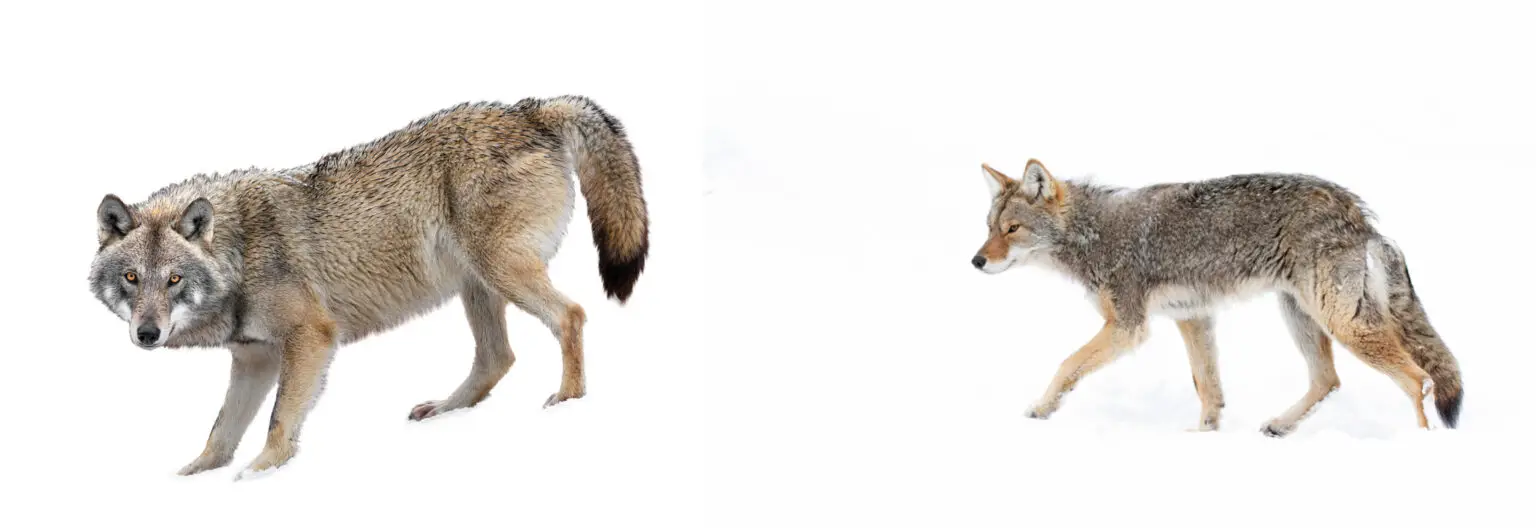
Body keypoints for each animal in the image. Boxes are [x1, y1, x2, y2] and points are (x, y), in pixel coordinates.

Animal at [88, 96, 650, 479]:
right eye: (132, 278)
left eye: (175, 279)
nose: (147, 334)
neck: (240, 250)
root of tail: (531, 110)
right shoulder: (254, 359)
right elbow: (219, 433)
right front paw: (191, 477)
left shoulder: (311, 338)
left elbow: (278, 421)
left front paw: (261, 471)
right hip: (476, 285)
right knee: (498, 358)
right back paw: (445, 409)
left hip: (501, 272)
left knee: (571, 315)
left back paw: (568, 399)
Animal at [970, 159, 1461, 436]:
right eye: (990, 228)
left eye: (1012, 229)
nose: (976, 261)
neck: (1095, 234)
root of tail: (1357, 212)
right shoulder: (1193, 317)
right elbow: (1207, 389)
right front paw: (1206, 435)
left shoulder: (1128, 328)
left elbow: (1066, 364)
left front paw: (1041, 409)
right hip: (1301, 317)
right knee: (1329, 380)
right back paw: (1280, 426)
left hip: (1342, 324)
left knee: (1418, 380)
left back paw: (1421, 442)